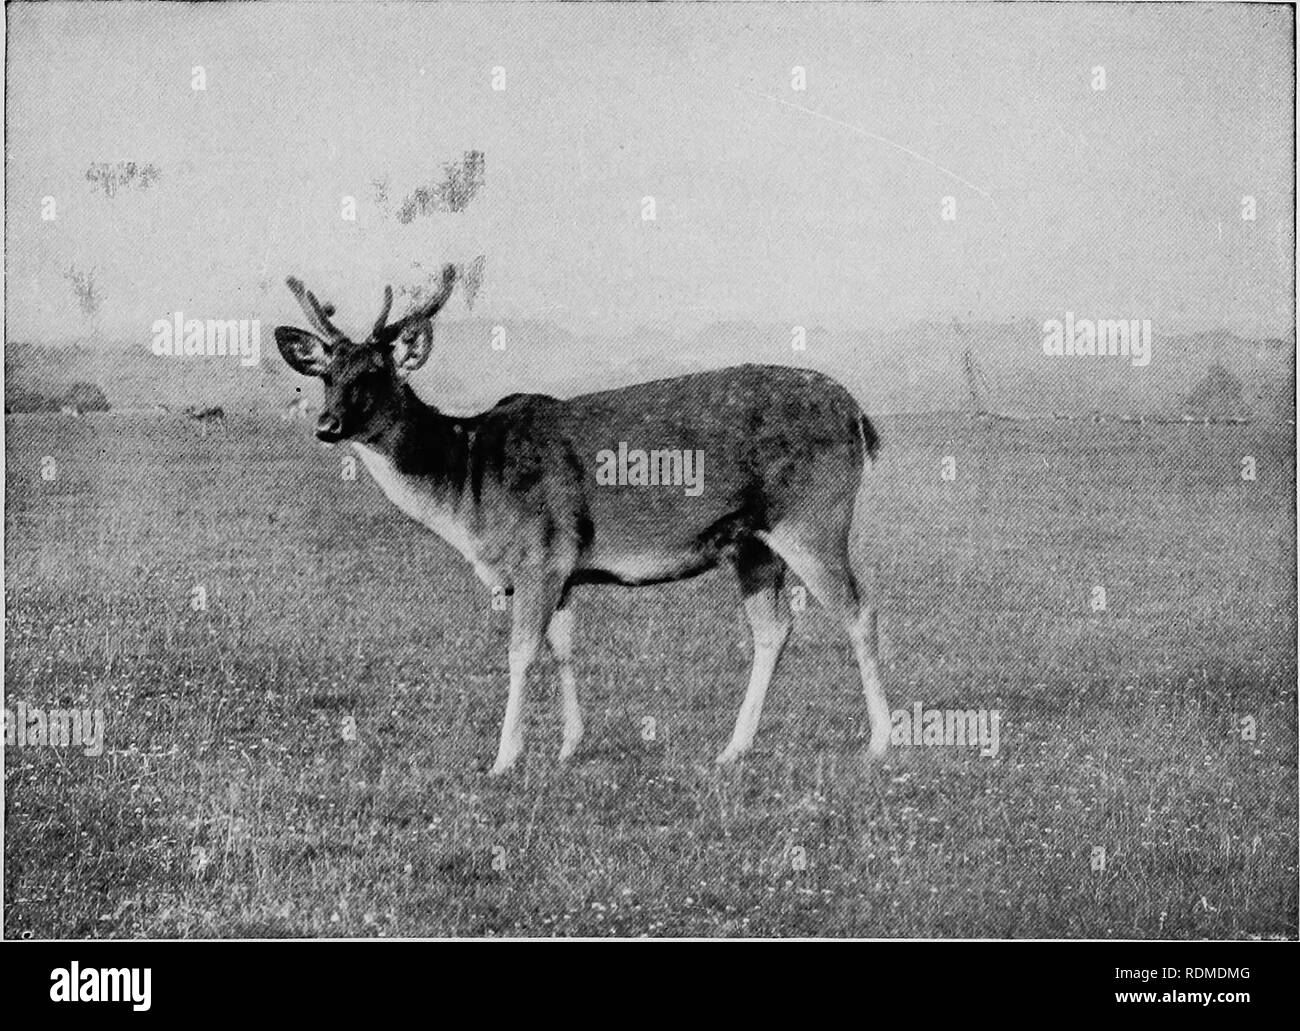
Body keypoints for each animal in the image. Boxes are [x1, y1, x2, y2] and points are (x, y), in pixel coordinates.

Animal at [274, 265, 890, 776]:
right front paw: (570, 744)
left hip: (814, 518)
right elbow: (563, 646)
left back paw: (881, 740)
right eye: (327, 374)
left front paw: (504, 757)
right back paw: (734, 747)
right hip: (752, 542)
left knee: (859, 609)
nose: (326, 425)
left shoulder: (538, 554)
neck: (468, 487)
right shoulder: (564, 568)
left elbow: (521, 651)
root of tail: (861, 417)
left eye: (375, 374)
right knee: (773, 628)